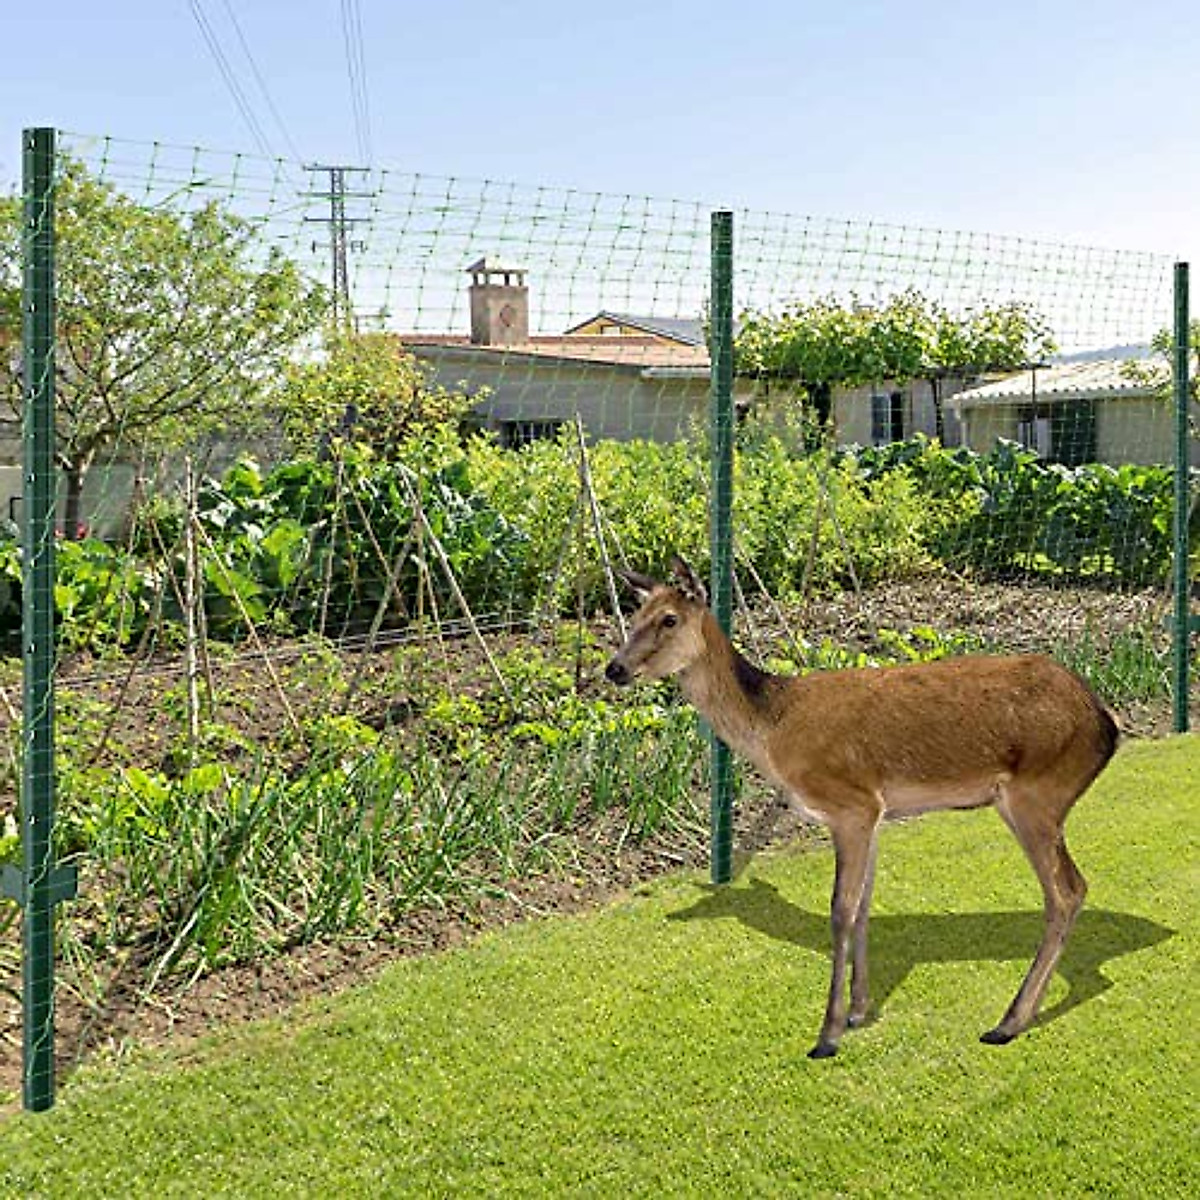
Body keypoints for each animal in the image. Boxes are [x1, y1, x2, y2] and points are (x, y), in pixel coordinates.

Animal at [605, 557, 1118, 1059]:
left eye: (669, 619)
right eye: (635, 615)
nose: (614, 668)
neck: (775, 730)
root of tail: (1106, 723)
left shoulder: (851, 805)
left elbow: (841, 909)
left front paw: (827, 1035)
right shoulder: (876, 813)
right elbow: (866, 904)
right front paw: (858, 1011)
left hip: (1036, 794)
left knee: (1067, 890)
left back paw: (1008, 1022)